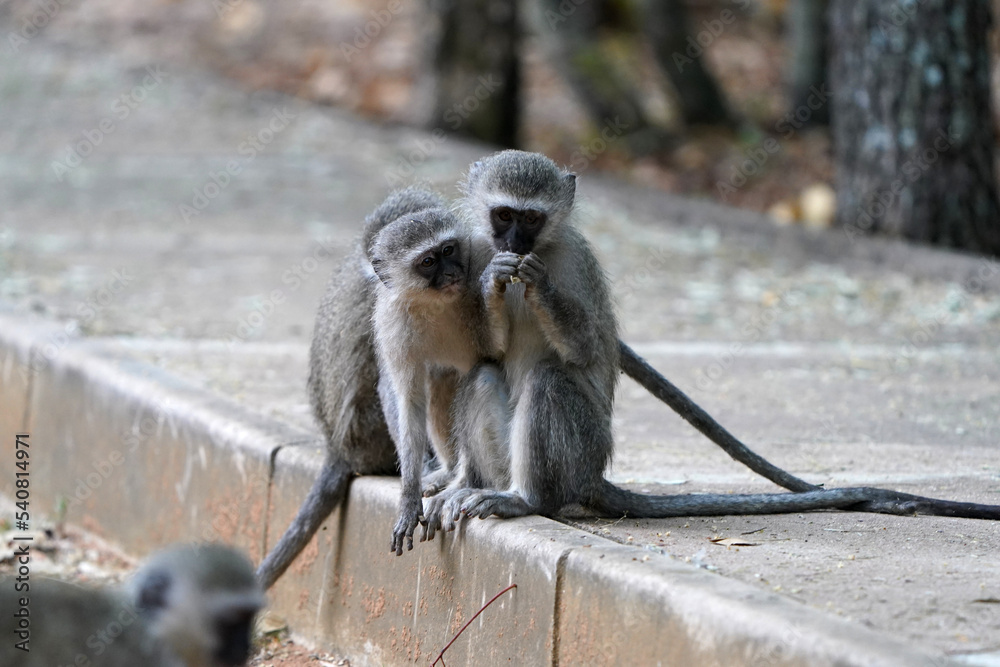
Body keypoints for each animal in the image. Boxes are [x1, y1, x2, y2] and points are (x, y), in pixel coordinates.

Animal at [421, 149, 1000, 537]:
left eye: (532, 219)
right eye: (503, 215)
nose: (515, 244)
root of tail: (590, 477)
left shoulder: (577, 262)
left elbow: (588, 349)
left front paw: (538, 283)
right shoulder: (479, 254)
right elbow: (488, 350)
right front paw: (498, 281)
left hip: (580, 452)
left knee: (549, 383)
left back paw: (525, 498)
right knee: (484, 376)